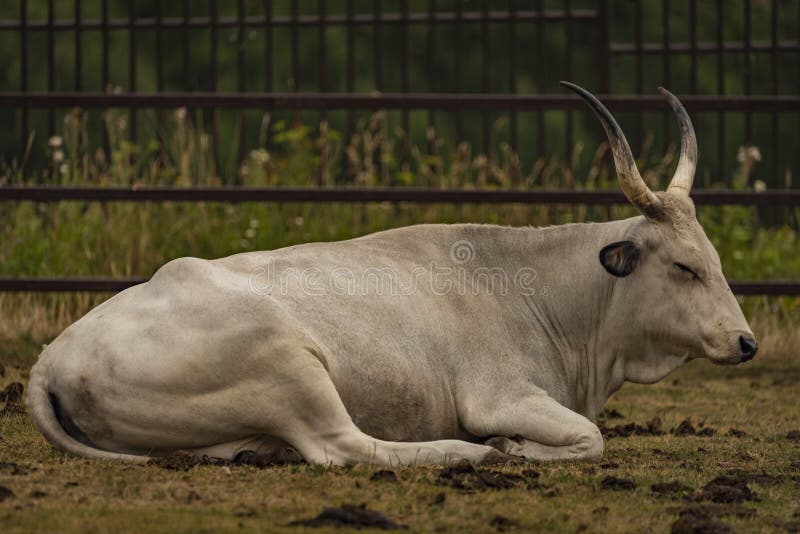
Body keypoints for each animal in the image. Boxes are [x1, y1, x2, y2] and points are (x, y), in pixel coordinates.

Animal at [26, 82, 757, 466]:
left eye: (715, 261)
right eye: (684, 266)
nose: (747, 342)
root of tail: (53, 357)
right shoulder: (500, 395)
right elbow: (589, 437)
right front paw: (511, 445)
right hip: (288, 363)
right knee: (343, 446)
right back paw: (466, 453)